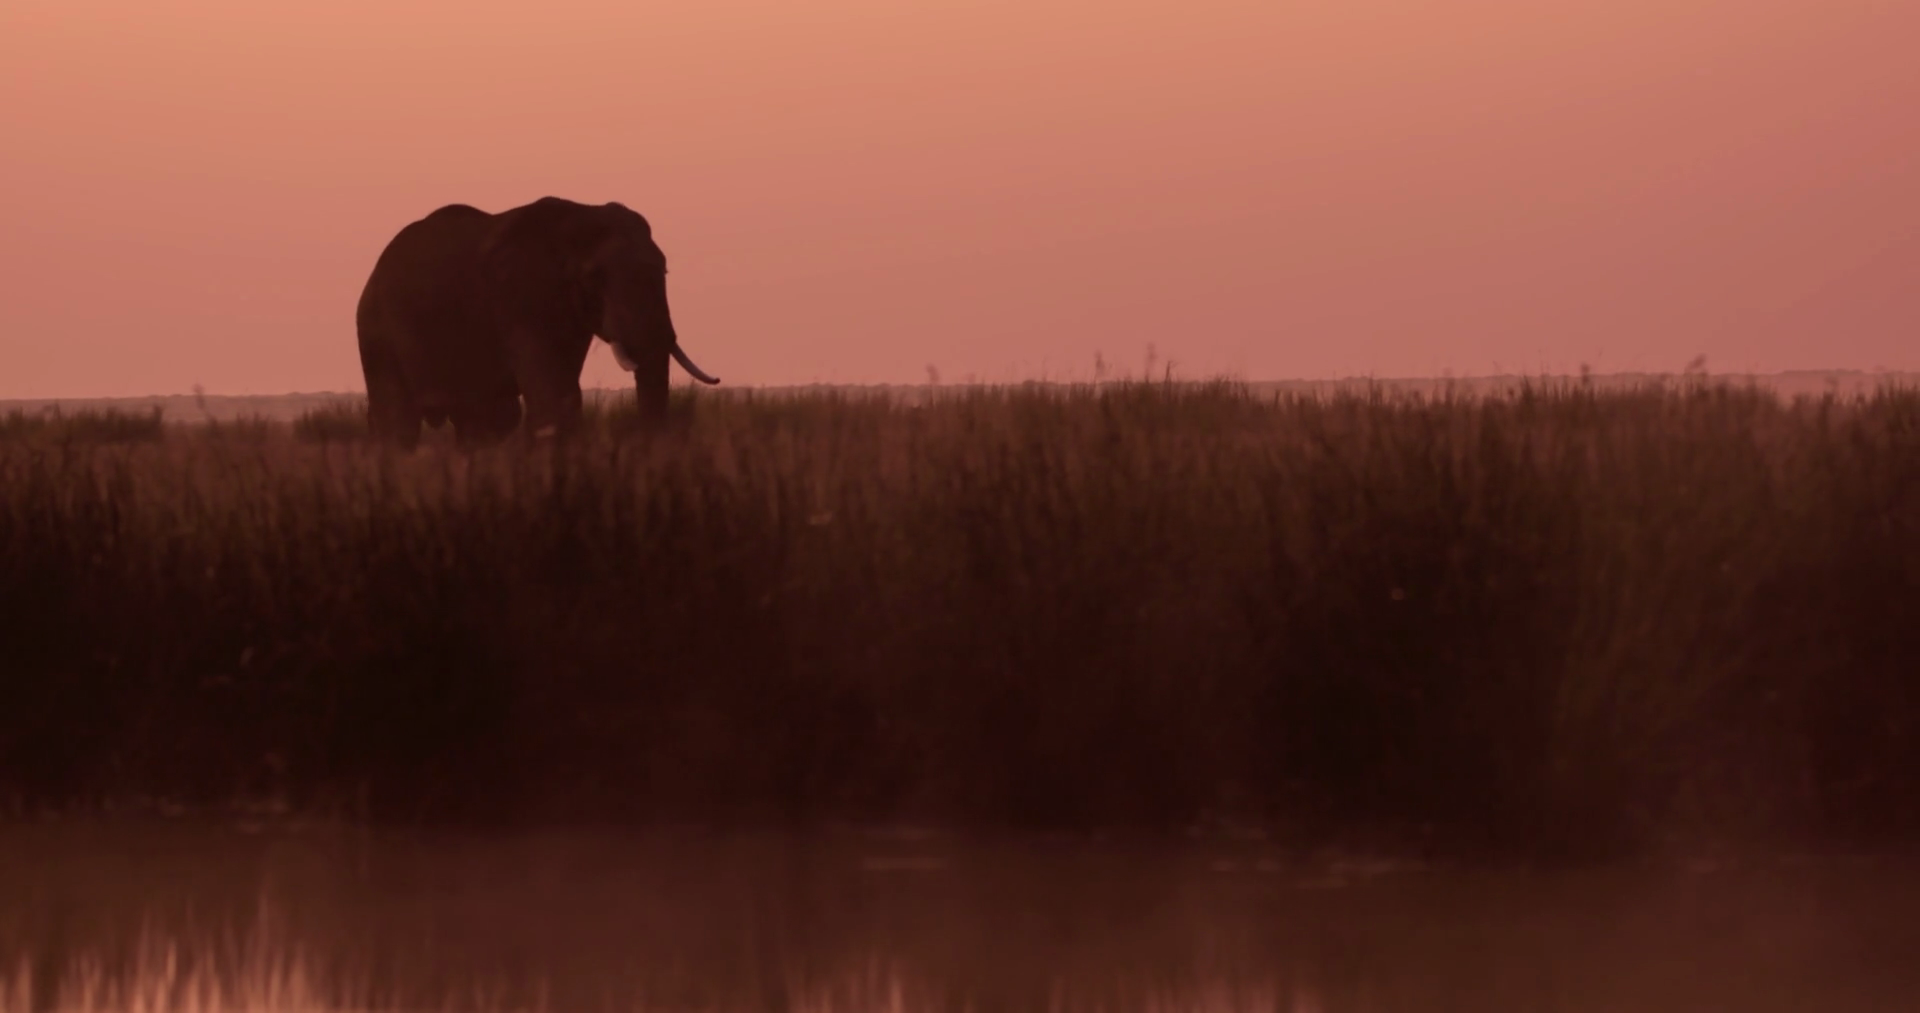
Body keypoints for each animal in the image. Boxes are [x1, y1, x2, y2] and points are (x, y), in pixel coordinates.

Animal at [355, 196, 720, 448]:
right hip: (376, 332)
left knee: (485, 420)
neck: (579, 216)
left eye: (665, 271)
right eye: (595, 278)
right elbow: (553, 394)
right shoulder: (521, 297)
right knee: (399, 424)